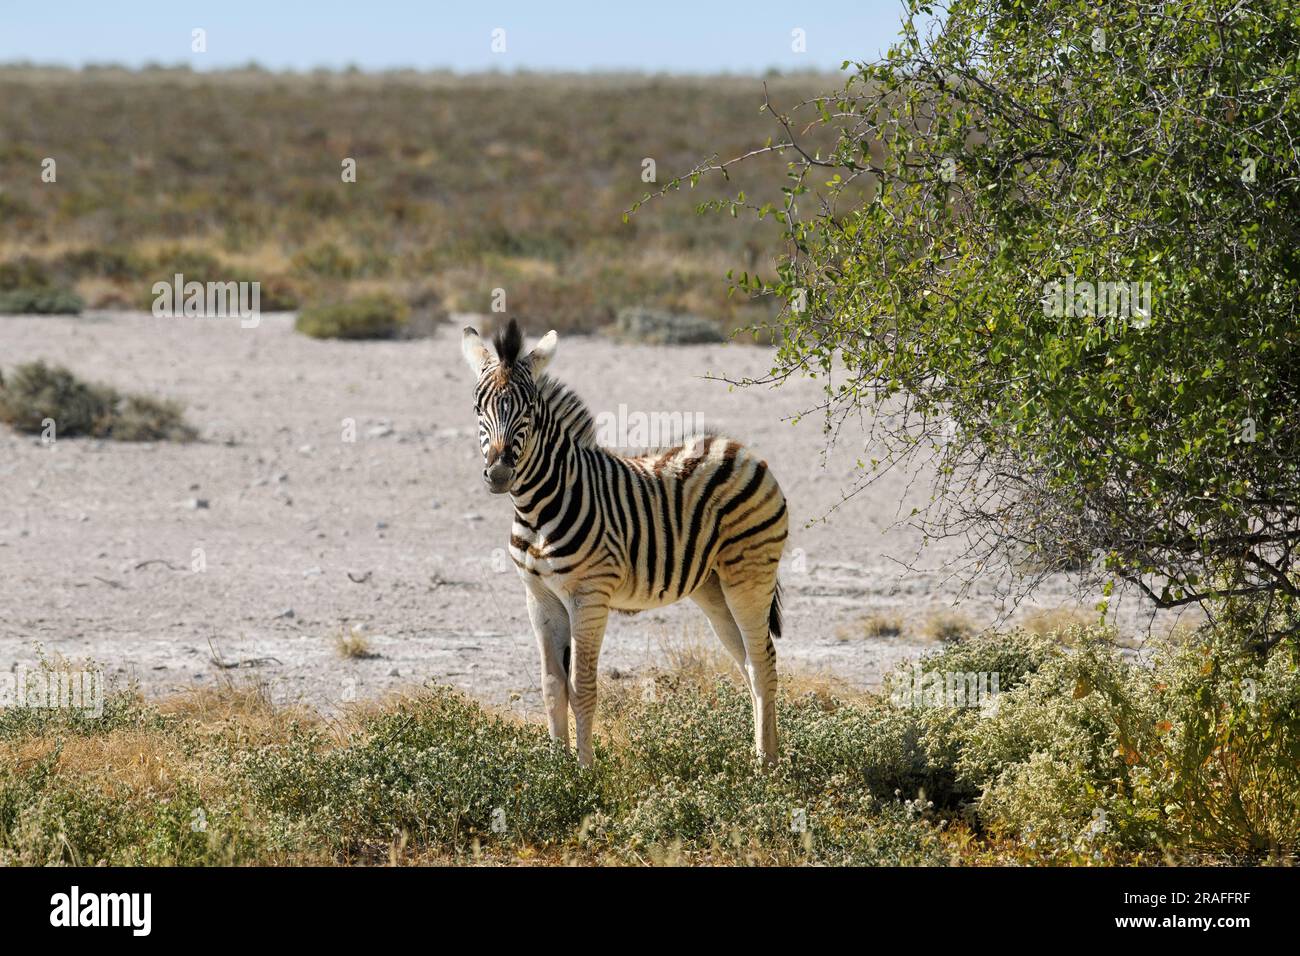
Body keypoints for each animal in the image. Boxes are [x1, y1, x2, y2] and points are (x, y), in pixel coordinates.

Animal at [460, 319, 788, 767]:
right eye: (479, 409)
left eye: (528, 409)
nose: (497, 475)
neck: (537, 507)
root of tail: (738, 448)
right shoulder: (538, 597)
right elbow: (552, 688)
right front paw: (555, 771)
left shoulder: (589, 596)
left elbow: (581, 688)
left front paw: (584, 771)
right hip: (712, 588)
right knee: (749, 666)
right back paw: (761, 761)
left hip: (749, 575)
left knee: (764, 662)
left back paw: (768, 770)